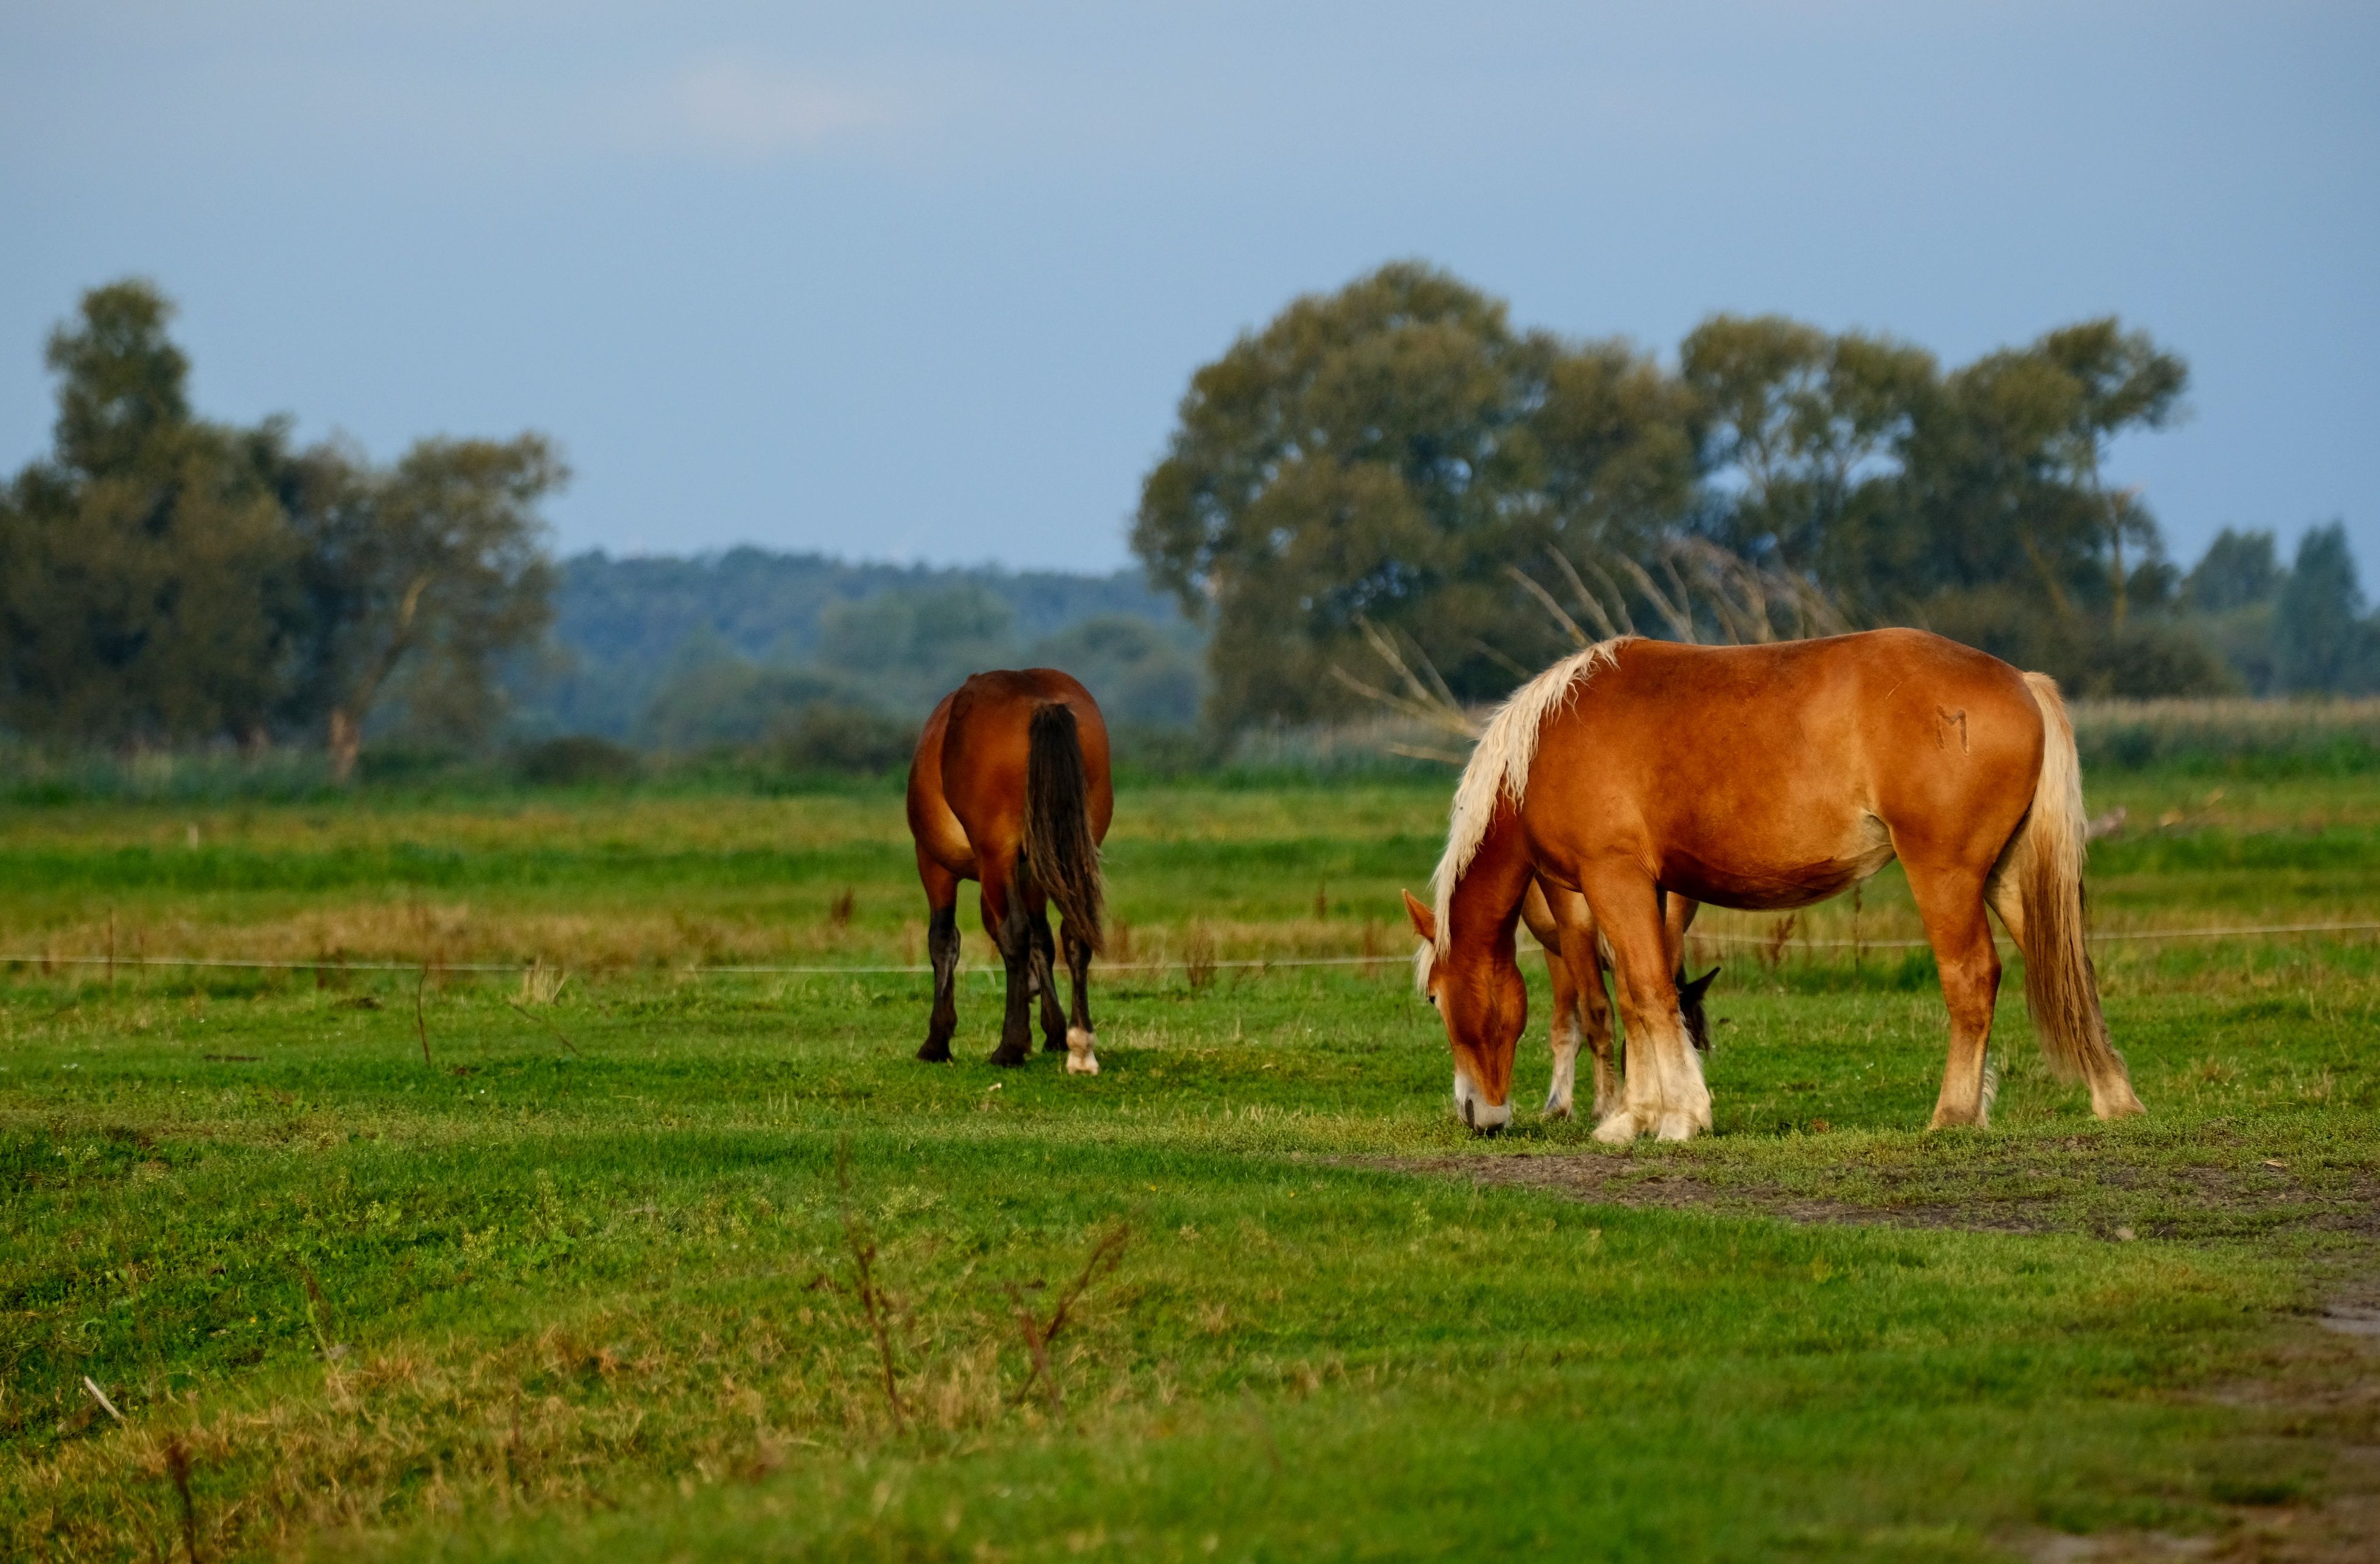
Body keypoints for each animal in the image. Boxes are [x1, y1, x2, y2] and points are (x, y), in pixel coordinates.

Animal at [907, 669, 1111, 1073]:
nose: (1031, 989)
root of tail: (1040, 700)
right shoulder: (1032, 874)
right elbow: (1043, 941)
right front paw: (1054, 1030)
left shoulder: (934, 865)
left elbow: (944, 941)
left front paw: (937, 1041)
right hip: (1074, 850)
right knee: (1075, 934)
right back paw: (1081, 1047)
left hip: (994, 858)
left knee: (1014, 933)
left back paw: (1009, 1048)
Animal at [1520, 879, 1713, 1122]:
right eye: (1695, 1044)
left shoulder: (1558, 950)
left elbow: (1565, 1026)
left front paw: (1557, 1106)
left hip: (1576, 938)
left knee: (1598, 1015)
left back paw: (1606, 1108)